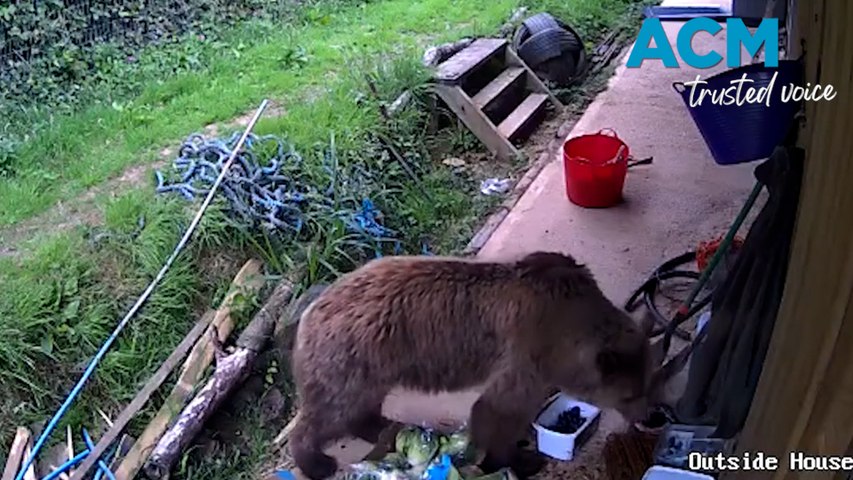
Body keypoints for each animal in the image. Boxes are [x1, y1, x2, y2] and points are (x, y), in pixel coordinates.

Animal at [288, 251, 664, 480]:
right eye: (629, 395)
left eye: (649, 381)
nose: (649, 416)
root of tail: (308, 314)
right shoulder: (527, 350)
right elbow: (497, 409)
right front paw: (518, 458)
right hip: (348, 361)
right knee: (328, 410)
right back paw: (316, 461)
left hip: (374, 366)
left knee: (361, 404)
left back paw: (380, 425)